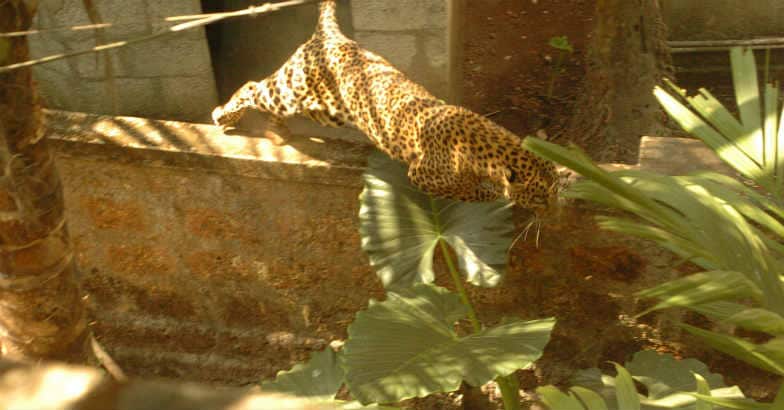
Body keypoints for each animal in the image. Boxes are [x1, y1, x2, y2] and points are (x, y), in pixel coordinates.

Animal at [211, 0, 559, 215]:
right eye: (541, 194)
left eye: (554, 190)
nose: (555, 210)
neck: (486, 148)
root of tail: (332, 34)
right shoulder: (423, 174)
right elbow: (468, 190)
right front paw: (493, 193)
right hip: (292, 89)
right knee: (254, 87)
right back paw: (223, 114)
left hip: (324, 111)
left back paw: (276, 129)